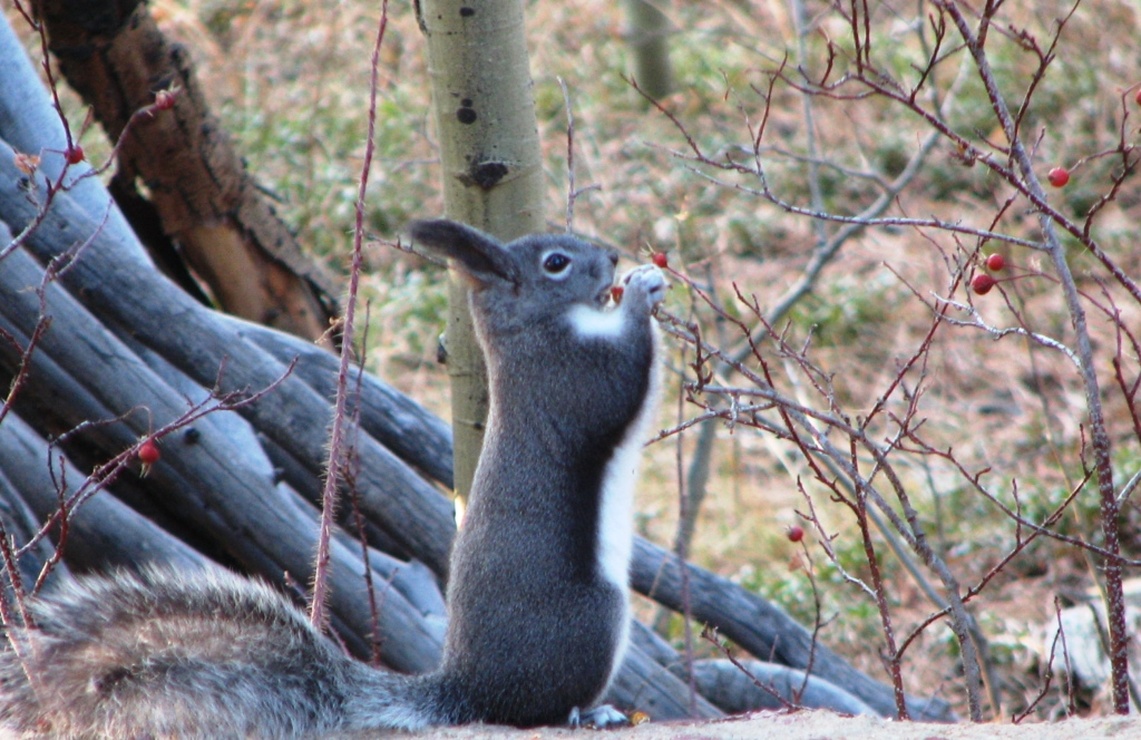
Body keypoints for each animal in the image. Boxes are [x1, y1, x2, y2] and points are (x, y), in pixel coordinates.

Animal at [0, 219, 667, 736]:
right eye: (556, 264)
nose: (611, 259)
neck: (530, 332)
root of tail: (470, 689)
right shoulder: (568, 380)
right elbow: (622, 381)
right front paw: (641, 293)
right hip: (590, 617)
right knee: (537, 711)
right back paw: (590, 712)